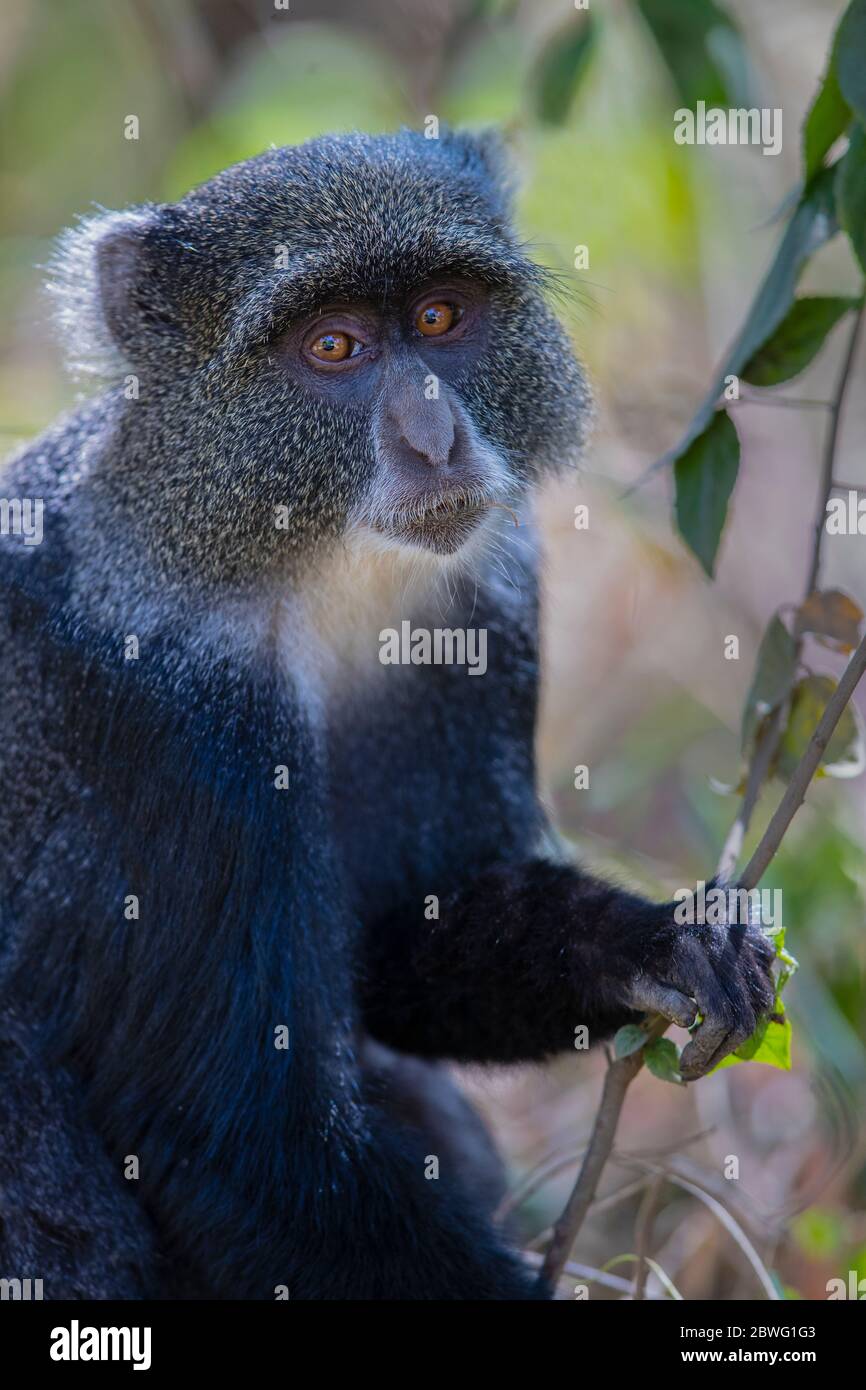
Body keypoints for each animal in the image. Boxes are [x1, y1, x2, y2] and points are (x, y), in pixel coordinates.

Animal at [0, 128, 775, 1300]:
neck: (314, 566)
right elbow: (235, 1137)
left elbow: (405, 928)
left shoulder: (483, 602)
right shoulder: (173, 706)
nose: (431, 433)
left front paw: (656, 941)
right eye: (333, 345)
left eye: (440, 318)